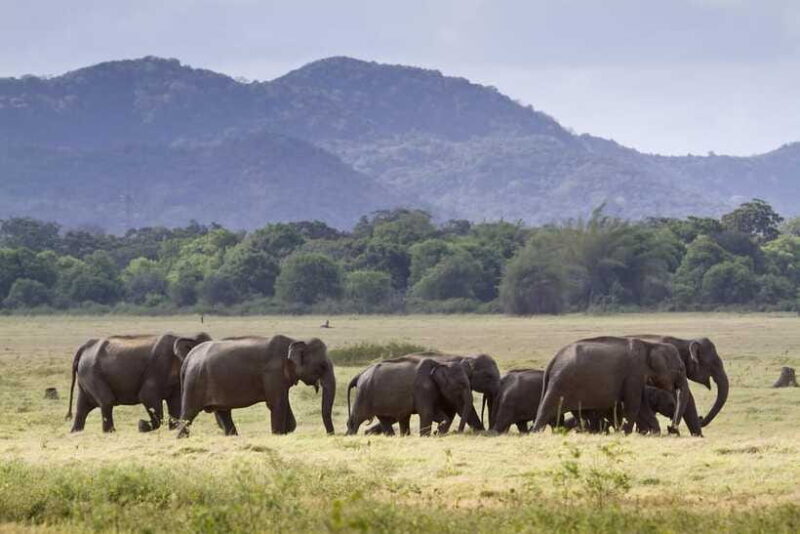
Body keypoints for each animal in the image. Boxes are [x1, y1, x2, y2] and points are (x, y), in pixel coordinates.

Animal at [66, 332, 211, 433]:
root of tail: (84, 347)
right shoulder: (157, 370)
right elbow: (147, 397)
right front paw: (141, 425)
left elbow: (175, 404)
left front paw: (172, 429)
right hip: (92, 373)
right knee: (107, 401)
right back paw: (110, 432)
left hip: (86, 376)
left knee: (82, 408)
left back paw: (76, 432)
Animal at [176, 336, 335, 437]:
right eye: (322, 366)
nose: (330, 435)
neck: (294, 340)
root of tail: (188, 358)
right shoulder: (272, 373)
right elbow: (277, 404)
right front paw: (277, 435)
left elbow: (284, 404)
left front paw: (287, 431)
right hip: (194, 383)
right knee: (188, 415)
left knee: (223, 413)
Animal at [532, 336, 691, 434]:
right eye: (681, 369)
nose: (671, 429)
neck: (650, 345)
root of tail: (553, 360)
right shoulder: (634, 374)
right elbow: (634, 405)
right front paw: (626, 433)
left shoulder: (637, 377)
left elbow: (642, 405)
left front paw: (655, 433)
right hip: (560, 383)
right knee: (545, 410)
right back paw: (535, 433)